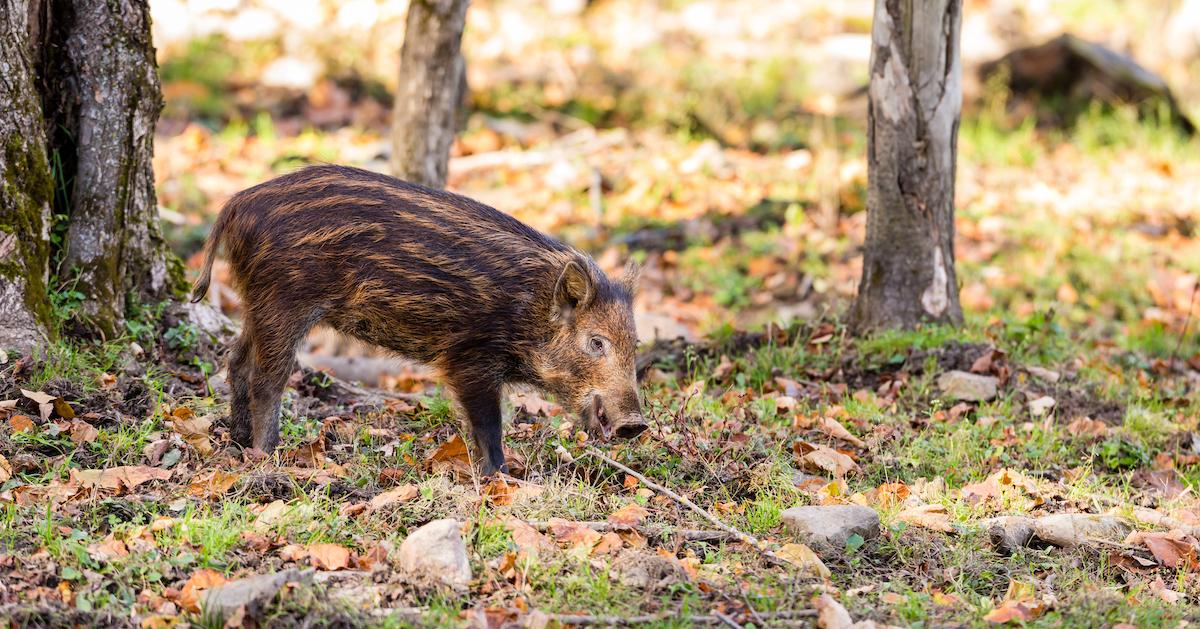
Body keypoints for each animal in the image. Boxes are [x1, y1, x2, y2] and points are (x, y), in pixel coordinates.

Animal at [190, 165, 646, 474]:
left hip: (256, 302)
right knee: (267, 378)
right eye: (596, 342)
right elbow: (488, 423)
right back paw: (269, 455)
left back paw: (238, 440)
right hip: (284, 302)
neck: (529, 311)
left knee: (236, 361)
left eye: (635, 344)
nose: (635, 425)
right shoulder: (469, 357)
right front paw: (500, 476)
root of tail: (236, 203)